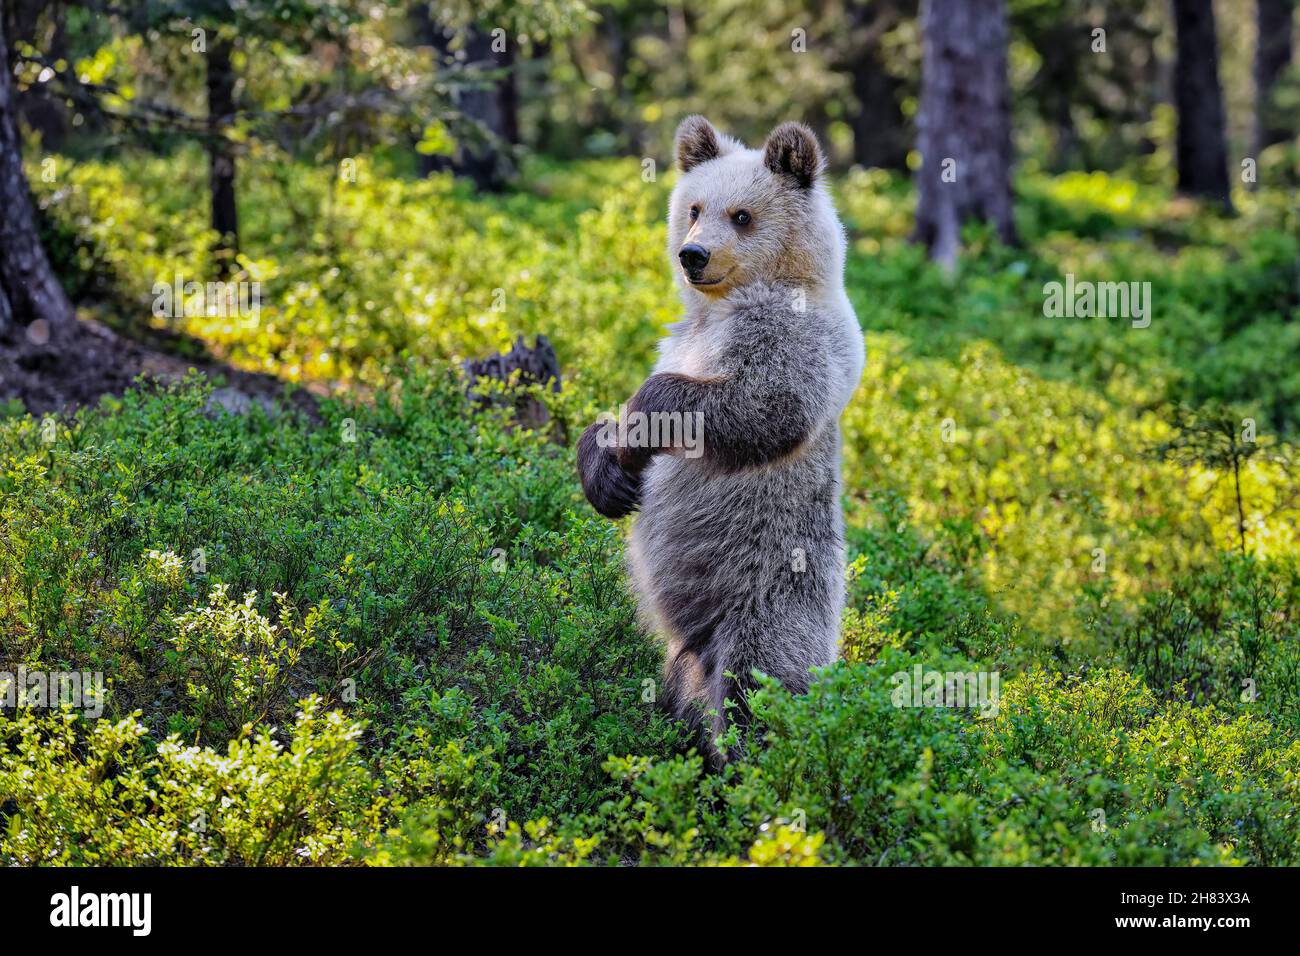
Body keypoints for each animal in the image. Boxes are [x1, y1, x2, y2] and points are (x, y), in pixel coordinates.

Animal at [577, 116, 865, 767]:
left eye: (742, 215)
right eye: (693, 208)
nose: (693, 255)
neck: (724, 308)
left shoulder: (796, 344)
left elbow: (758, 406)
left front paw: (638, 426)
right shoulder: (679, 338)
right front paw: (607, 474)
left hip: (771, 595)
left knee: (757, 685)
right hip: (684, 653)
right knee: (684, 695)